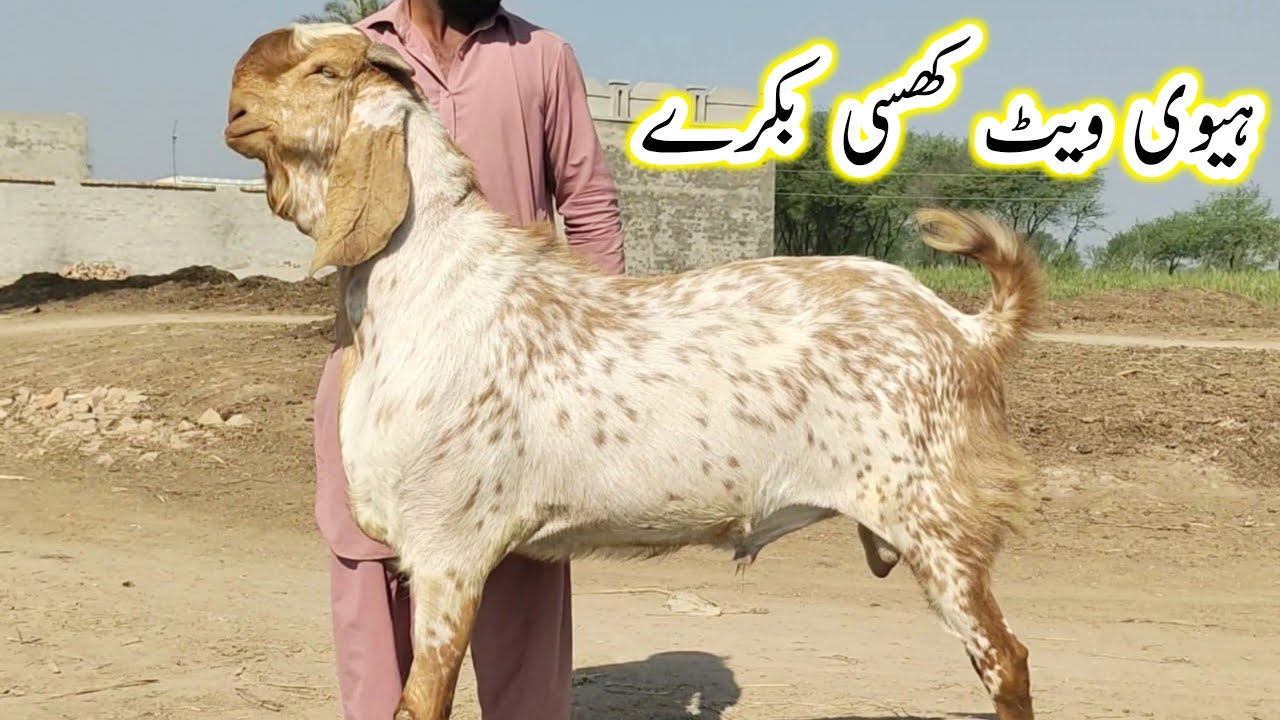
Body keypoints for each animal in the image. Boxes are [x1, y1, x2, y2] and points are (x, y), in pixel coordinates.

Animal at [224, 23, 1044, 720]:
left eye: (323, 71)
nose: (234, 100)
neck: (423, 280)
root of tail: (968, 329)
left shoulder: (448, 547)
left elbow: (422, 701)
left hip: (939, 523)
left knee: (1006, 660)